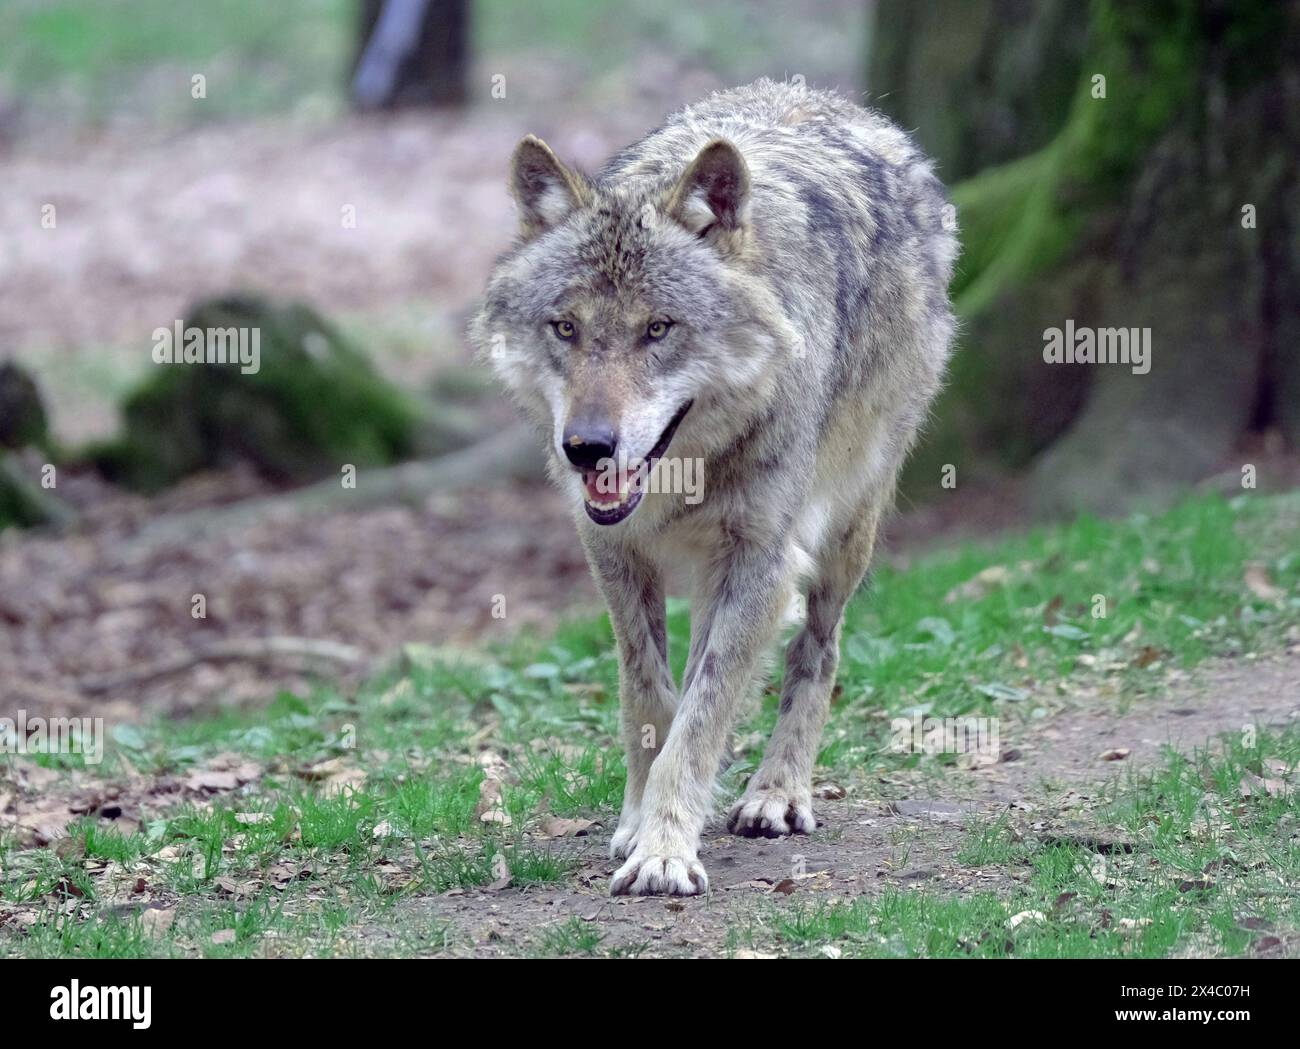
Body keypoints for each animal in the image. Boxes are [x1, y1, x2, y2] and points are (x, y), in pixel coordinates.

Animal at [471, 79, 958, 896]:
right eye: (565, 328)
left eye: (659, 328)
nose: (586, 447)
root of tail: (832, 101)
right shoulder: (614, 553)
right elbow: (652, 698)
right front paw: (641, 823)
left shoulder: (761, 561)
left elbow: (701, 715)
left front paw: (666, 848)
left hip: (844, 533)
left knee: (817, 653)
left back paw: (777, 792)